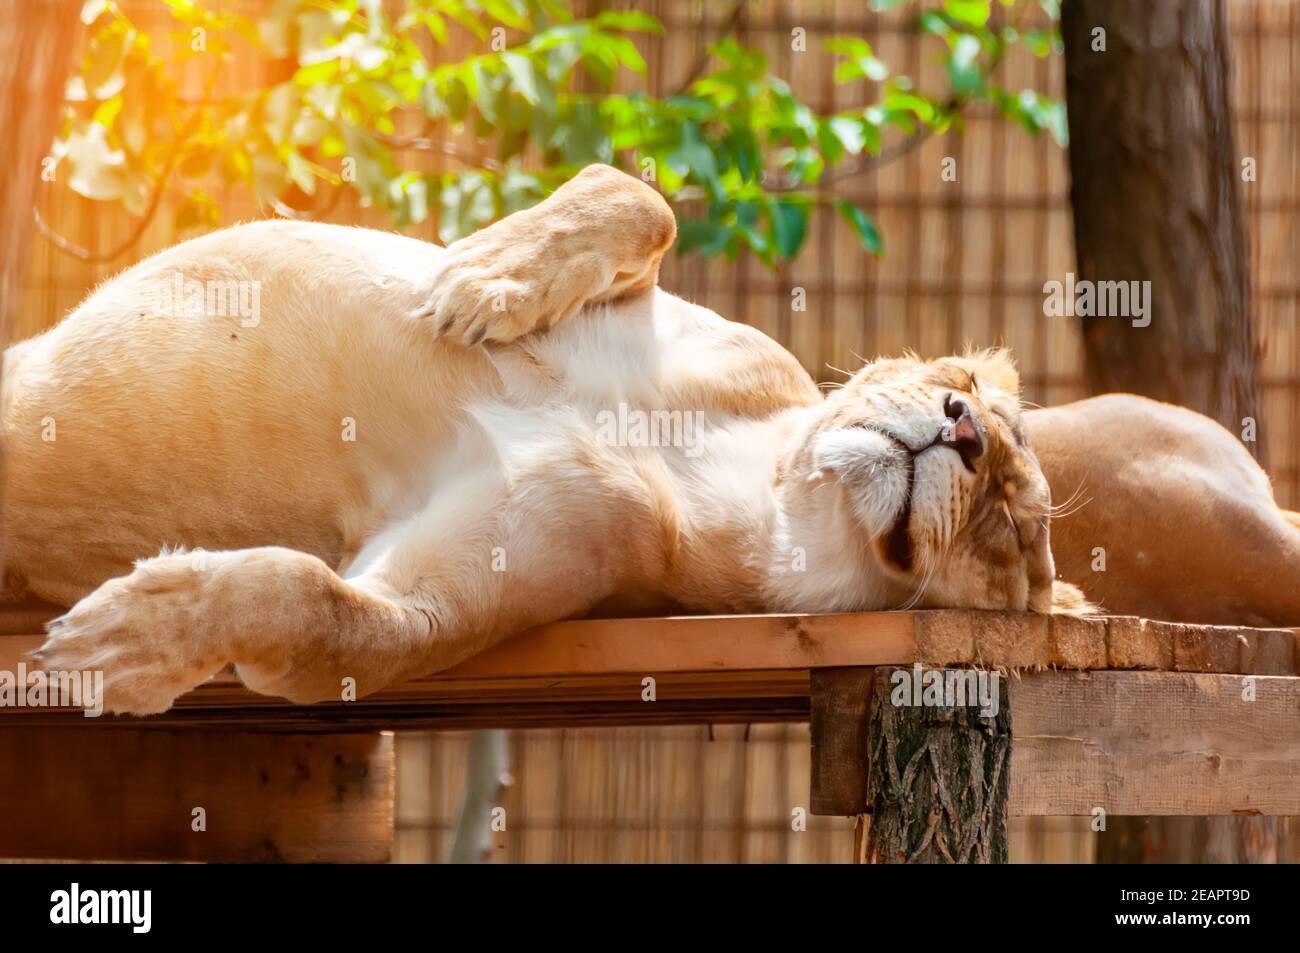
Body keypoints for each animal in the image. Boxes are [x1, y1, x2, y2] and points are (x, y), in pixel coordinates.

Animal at [4, 166, 1294, 714]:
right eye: (965, 385)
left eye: (1012, 525)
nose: (966, 433)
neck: (730, 484)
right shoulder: (741, 345)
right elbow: (636, 192)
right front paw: (484, 276)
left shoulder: (457, 591)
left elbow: (315, 605)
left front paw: (122, 639)